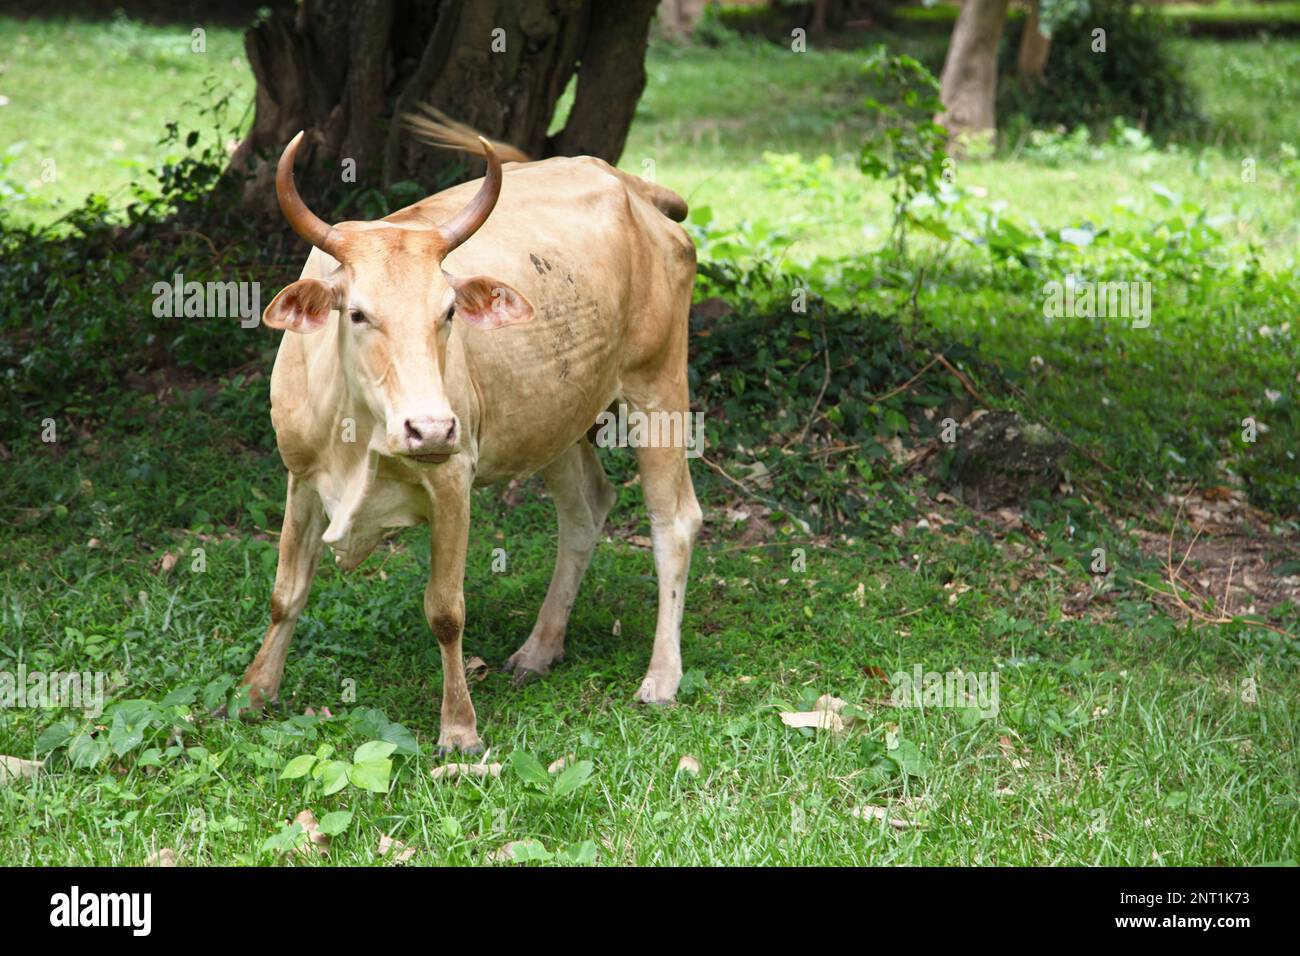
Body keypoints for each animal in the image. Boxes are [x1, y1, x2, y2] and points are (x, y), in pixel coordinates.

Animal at [236, 119, 702, 754]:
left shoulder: (452, 480)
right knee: (585, 510)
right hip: (555, 417)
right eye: (356, 313)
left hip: (657, 387)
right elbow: (285, 592)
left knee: (673, 520)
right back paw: (540, 648)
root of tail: (626, 184)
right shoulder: (301, 477)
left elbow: (445, 611)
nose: (430, 427)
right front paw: (253, 692)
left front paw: (459, 729)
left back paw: (660, 677)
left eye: (449, 311)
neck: (358, 435)